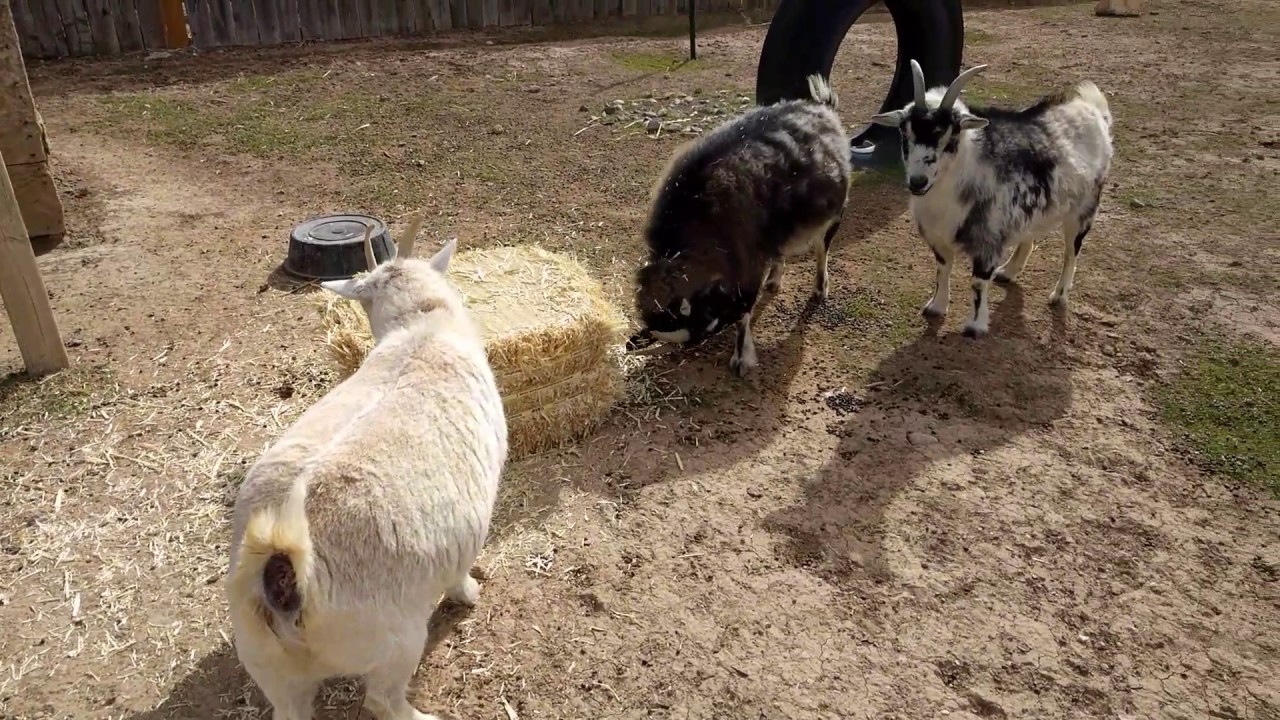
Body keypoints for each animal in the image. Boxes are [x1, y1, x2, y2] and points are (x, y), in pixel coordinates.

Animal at [226, 221, 507, 720]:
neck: (419, 328)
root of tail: (283, 575)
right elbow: (461, 571)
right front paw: (469, 593)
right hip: (394, 642)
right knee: (382, 700)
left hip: (271, 668)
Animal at [625, 74, 852, 377]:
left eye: (706, 321)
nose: (695, 344)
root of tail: (822, 107)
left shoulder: (747, 266)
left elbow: (745, 313)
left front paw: (742, 358)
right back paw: (775, 280)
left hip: (833, 214)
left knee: (822, 249)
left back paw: (819, 288)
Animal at [869, 59, 1114, 337]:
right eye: (904, 134)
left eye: (950, 136)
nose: (918, 182)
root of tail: (1092, 106)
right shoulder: (938, 235)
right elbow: (943, 268)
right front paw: (936, 306)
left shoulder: (988, 237)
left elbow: (978, 282)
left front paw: (975, 325)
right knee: (1029, 237)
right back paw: (1008, 271)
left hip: (1084, 208)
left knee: (1071, 252)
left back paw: (1059, 295)